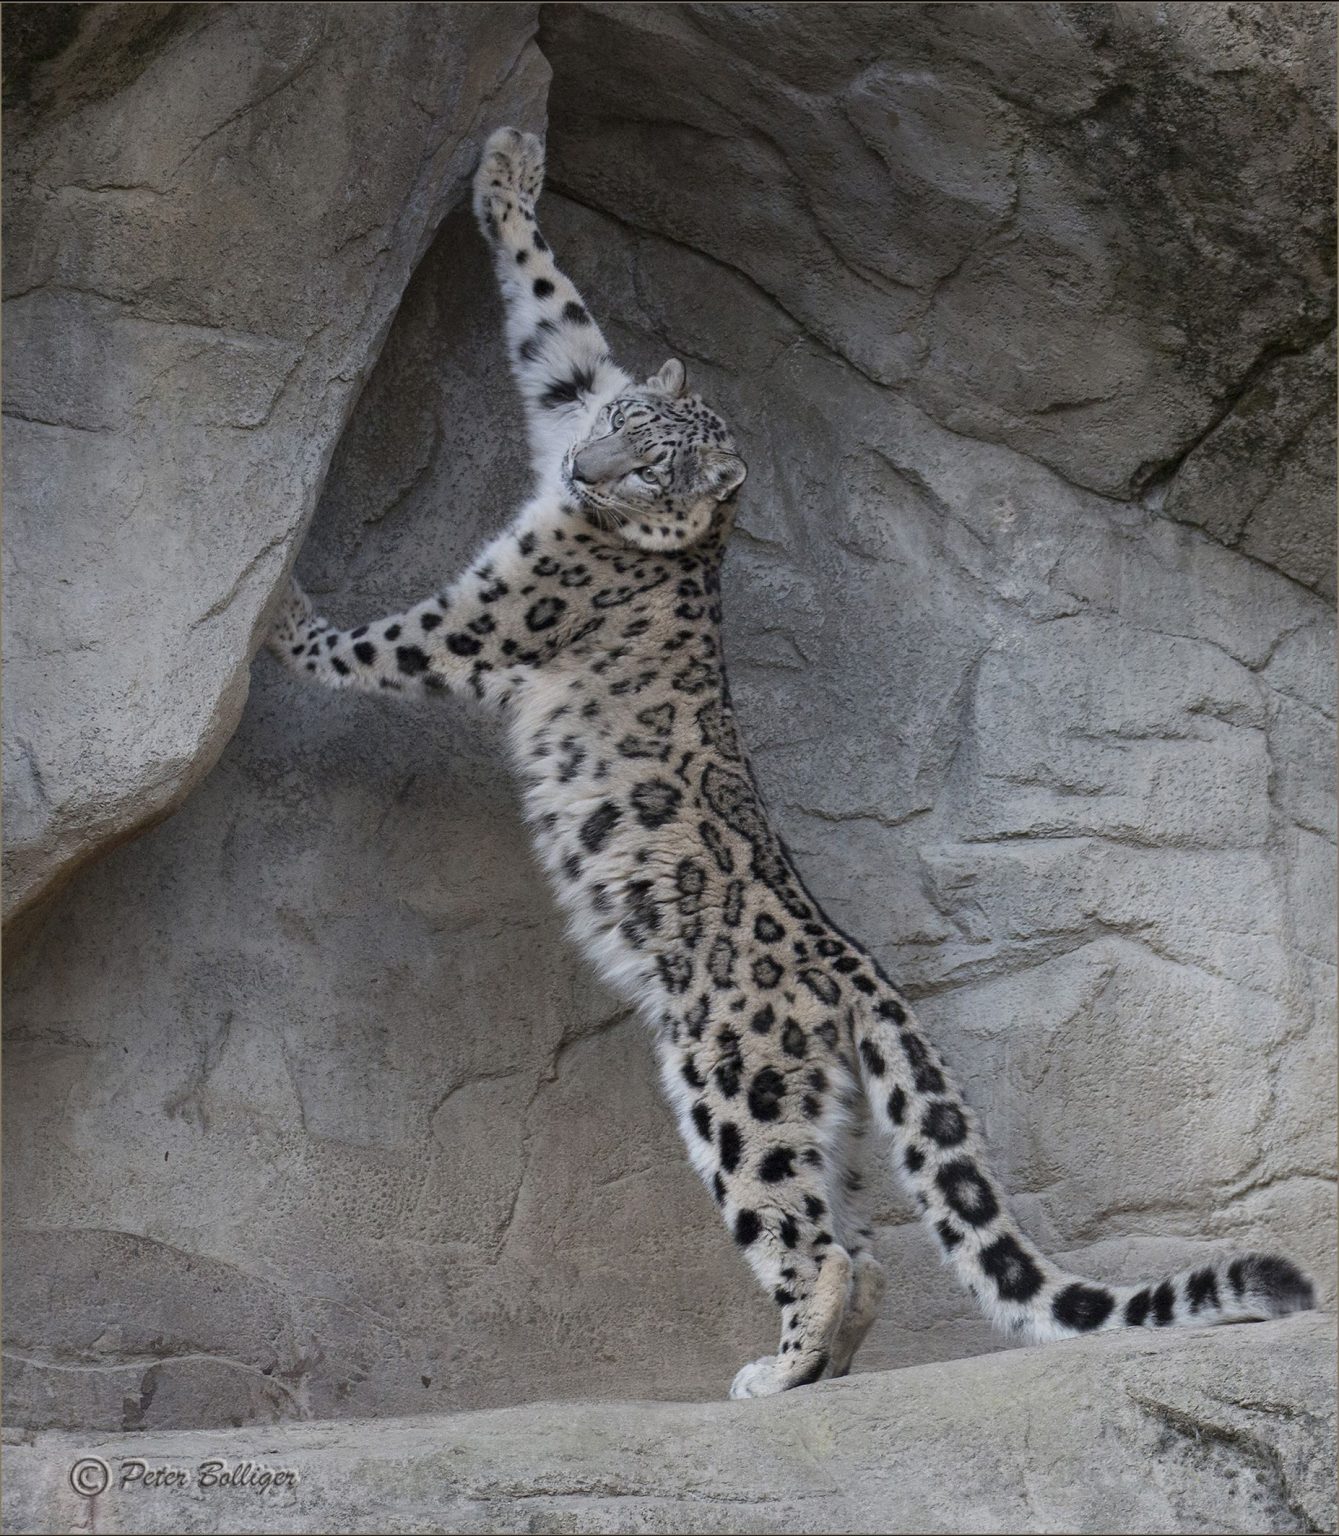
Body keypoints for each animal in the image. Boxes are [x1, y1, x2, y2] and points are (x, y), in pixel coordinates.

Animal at [266, 127, 1315, 1399]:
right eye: (617, 419)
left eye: (647, 469)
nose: (583, 471)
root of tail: (849, 968)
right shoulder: (562, 393)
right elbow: (553, 322)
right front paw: (511, 171)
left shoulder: (495, 614)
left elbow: (389, 640)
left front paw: (289, 615)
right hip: (830, 1123)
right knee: (864, 1246)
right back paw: (816, 1372)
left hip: (735, 1081)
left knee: (810, 1240)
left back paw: (776, 1370)